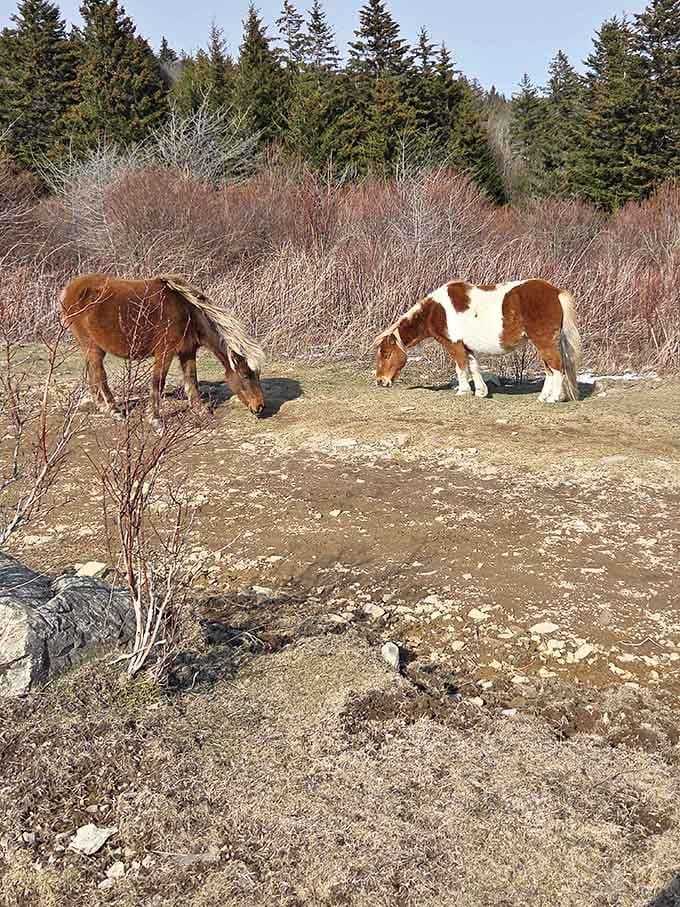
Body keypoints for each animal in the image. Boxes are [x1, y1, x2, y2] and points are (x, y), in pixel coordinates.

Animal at [60, 274, 265, 429]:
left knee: (93, 373)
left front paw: (200, 410)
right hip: (92, 347)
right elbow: (158, 383)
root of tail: (69, 290)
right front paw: (155, 419)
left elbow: (191, 380)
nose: (260, 407)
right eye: (245, 375)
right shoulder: (165, 352)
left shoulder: (187, 352)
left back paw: (101, 405)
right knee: (100, 375)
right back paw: (114, 410)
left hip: (91, 348)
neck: (187, 311)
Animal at [374, 278, 582, 403]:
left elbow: (461, 367)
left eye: (386, 354)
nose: (380, 381)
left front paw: (463, 391)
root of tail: (555, 292)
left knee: (557, 367)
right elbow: (474, 367)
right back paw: (544, 396)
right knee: (550, 369)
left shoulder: (454, 345)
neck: (436, 311)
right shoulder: (467, 347)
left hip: (544, 342)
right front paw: (481, 392)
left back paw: (554, 398)